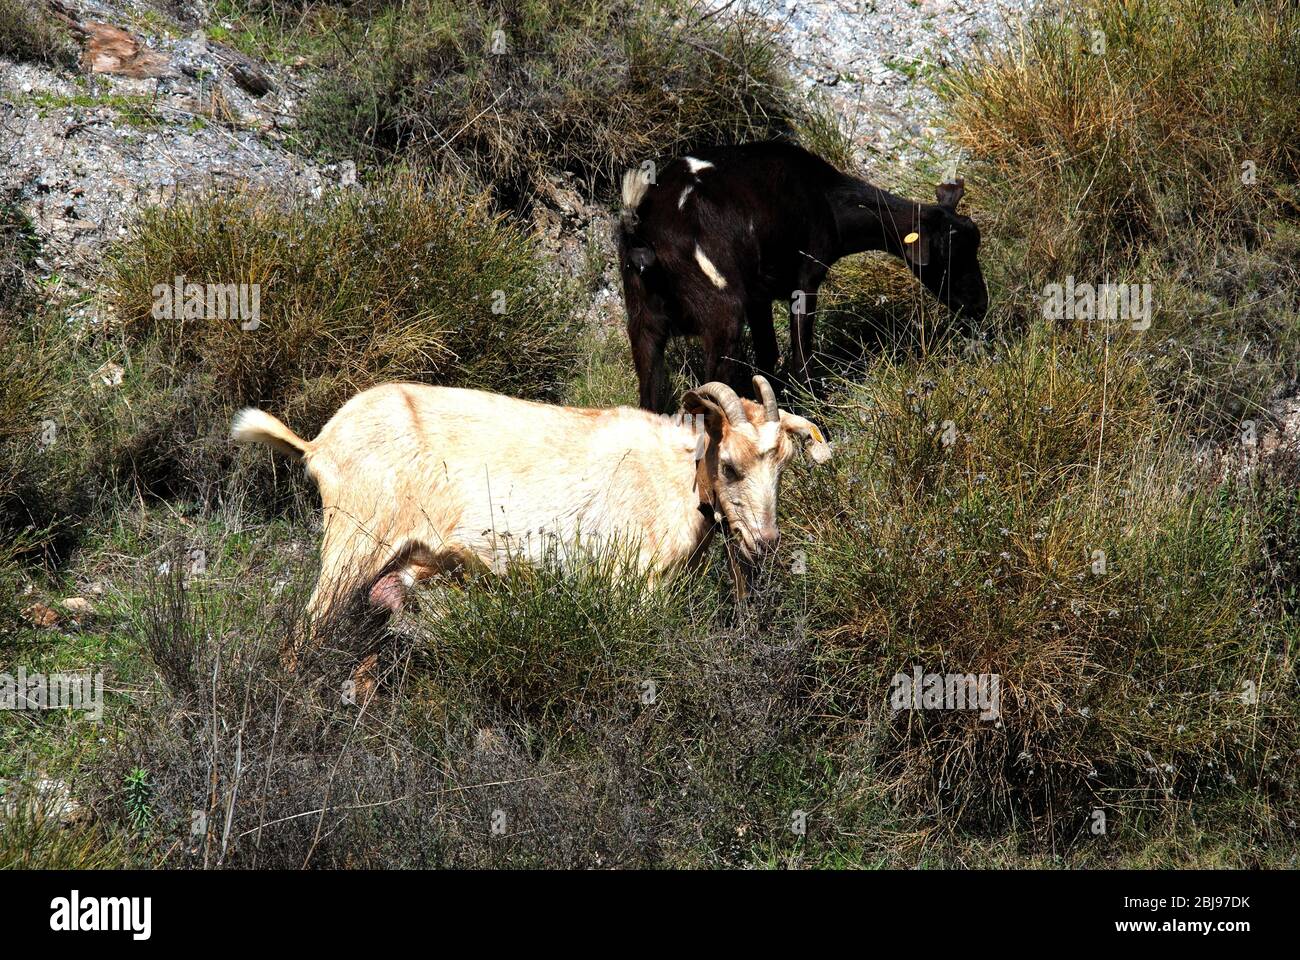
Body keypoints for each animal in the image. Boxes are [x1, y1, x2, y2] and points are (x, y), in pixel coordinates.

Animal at [231, 376, 830, 642]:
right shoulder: (633, 583)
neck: (674, 478)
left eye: (783, 464)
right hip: (355, 539)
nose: (765, 543)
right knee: (306, 630)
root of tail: (319, 444)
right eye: (729, 464)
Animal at [618, 140, 989, 411]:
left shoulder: (759, 294)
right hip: (720, 309)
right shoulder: (805, 278)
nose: (979, 305)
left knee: (649, 395)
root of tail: (643, 230)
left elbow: (768, 354)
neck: (826, 198)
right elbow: (801, 360)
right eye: (949, 254)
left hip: (643, 315)